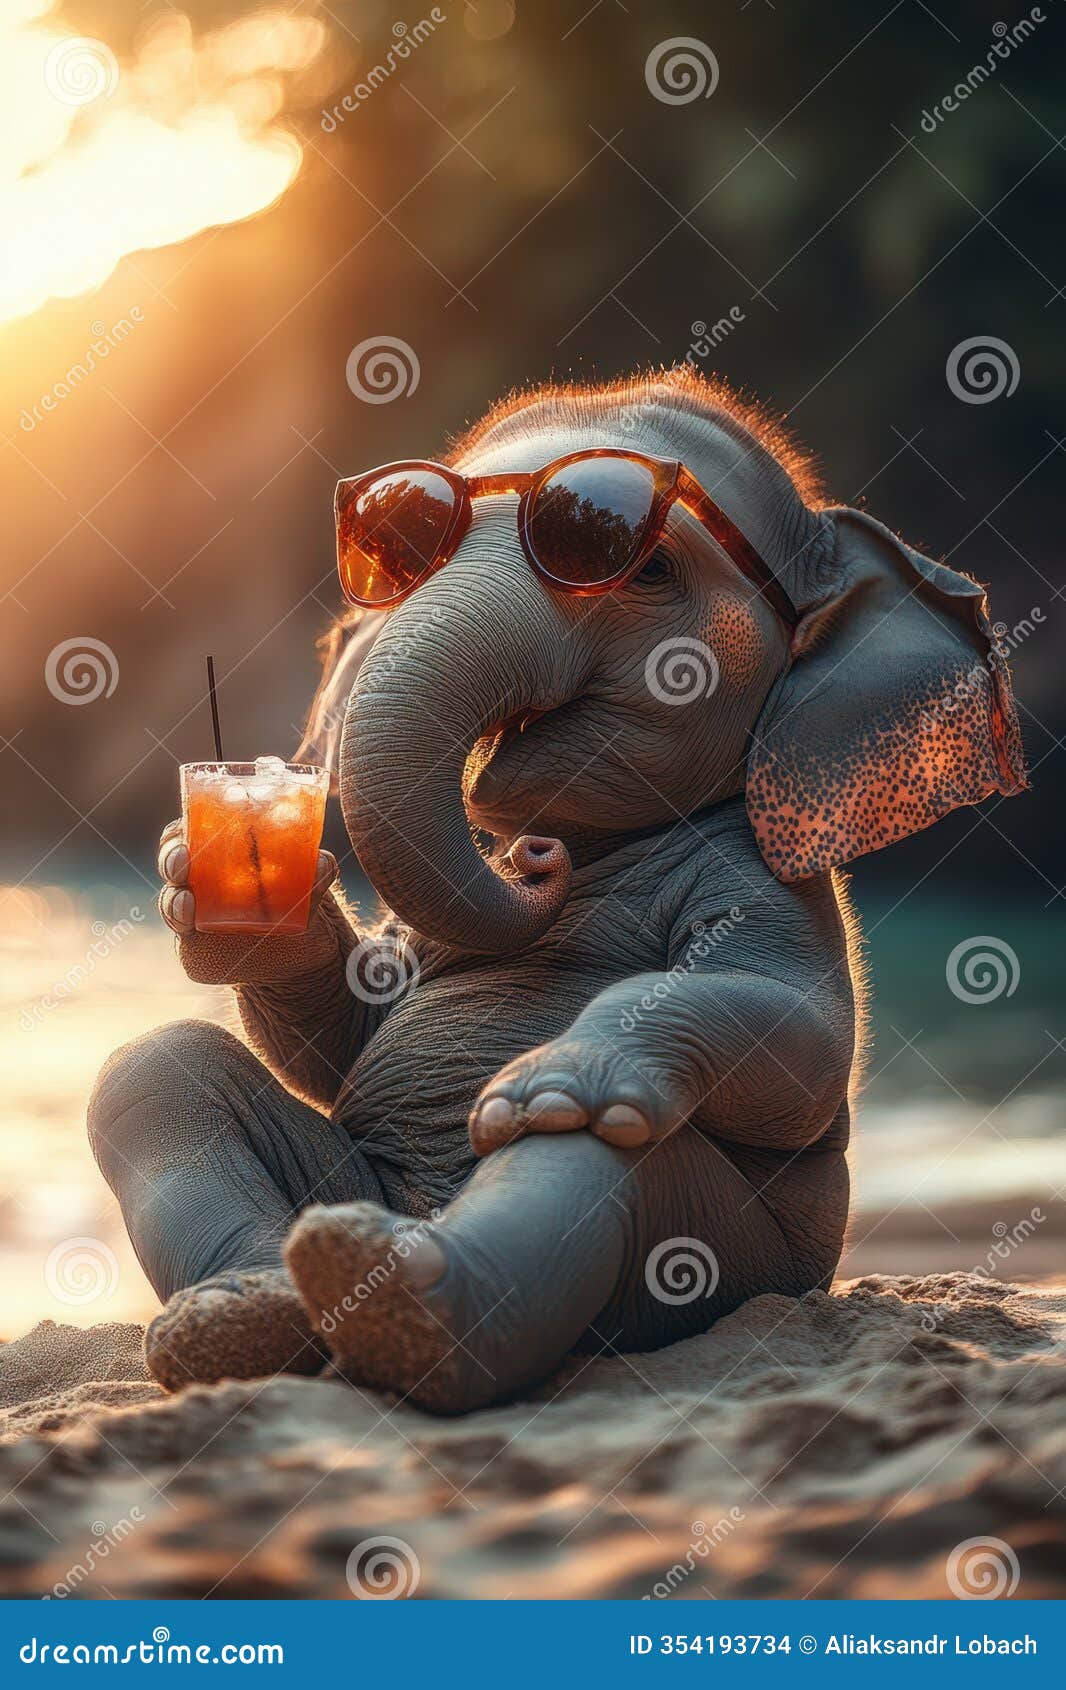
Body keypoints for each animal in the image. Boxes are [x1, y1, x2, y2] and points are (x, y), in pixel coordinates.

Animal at [88, 368, 1027, 1414]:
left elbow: (802, 1037)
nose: (531, 859)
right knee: (158, 1073)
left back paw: (415, 1295)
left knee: (590, 1156)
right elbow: (344, 1042)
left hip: (727, 1256)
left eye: (644, 570)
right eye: (399, 557)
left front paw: (573, 1067)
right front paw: (204, 891)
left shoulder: (763, 876)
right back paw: (244, 1319)